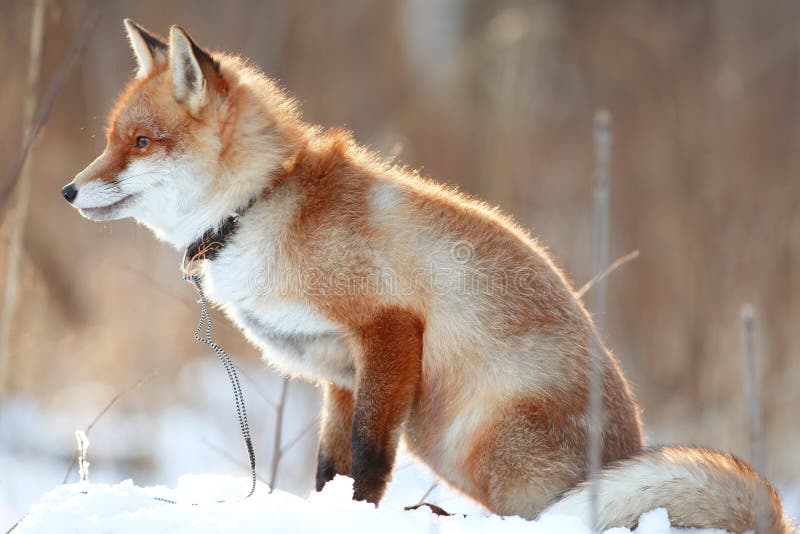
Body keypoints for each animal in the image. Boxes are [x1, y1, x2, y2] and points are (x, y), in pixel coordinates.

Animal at [60, 20, 796, 533]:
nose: (66, 191)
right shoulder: (339, 373)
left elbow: (366, 460)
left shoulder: (389, 328)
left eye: (140, 143)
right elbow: (329, 467)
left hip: (465, 437)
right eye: (110, 138)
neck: (260, 204)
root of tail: (631, 447)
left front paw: (359, 515)